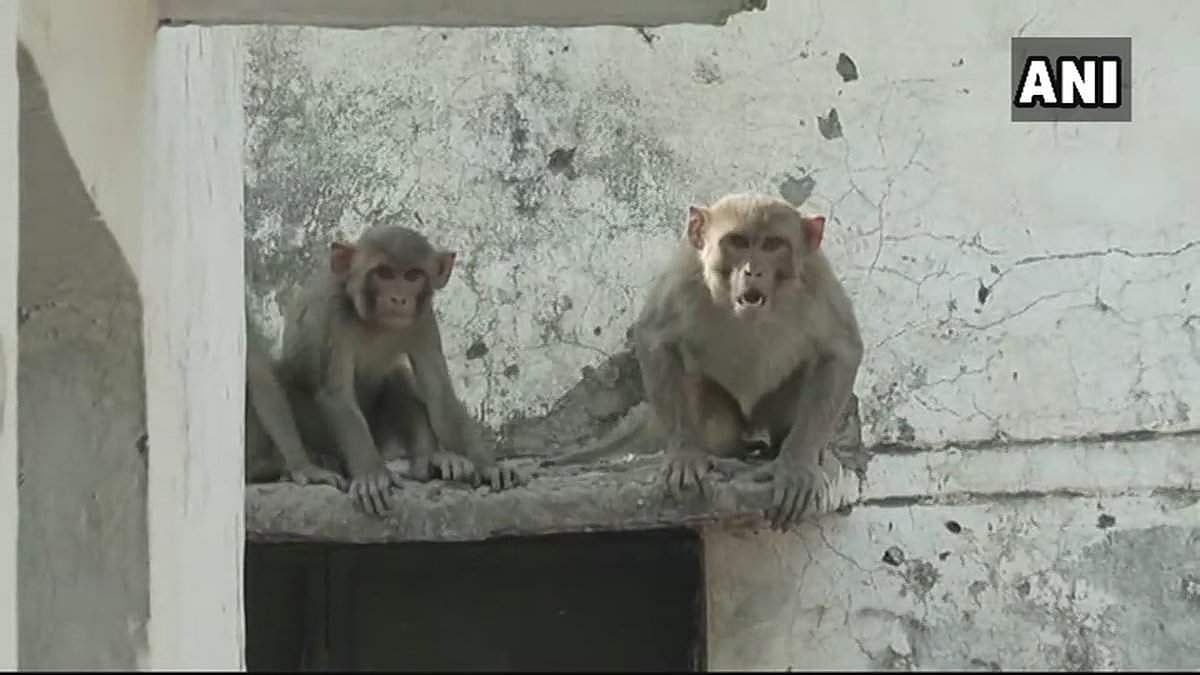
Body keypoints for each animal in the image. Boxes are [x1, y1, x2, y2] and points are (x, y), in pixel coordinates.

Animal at [275, 224, 521, 517]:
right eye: (384, 273)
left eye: (412, 275)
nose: (399, 298)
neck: (373, 322)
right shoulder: (332, 311)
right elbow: (336, 396)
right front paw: (371, 476)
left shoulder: (424, 317)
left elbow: (439, 392)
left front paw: (487, 465)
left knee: (397, 376)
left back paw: (430, 461)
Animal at [552, 194, 862, 531]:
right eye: (737, 242)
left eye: (773, 245)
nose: (753, 271)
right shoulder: (685, 269)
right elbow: (655, 339)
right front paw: (685, 453)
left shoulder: (817, 273)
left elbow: (841, 350)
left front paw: (796, 465)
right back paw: (732, 450)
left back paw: (781, 449)